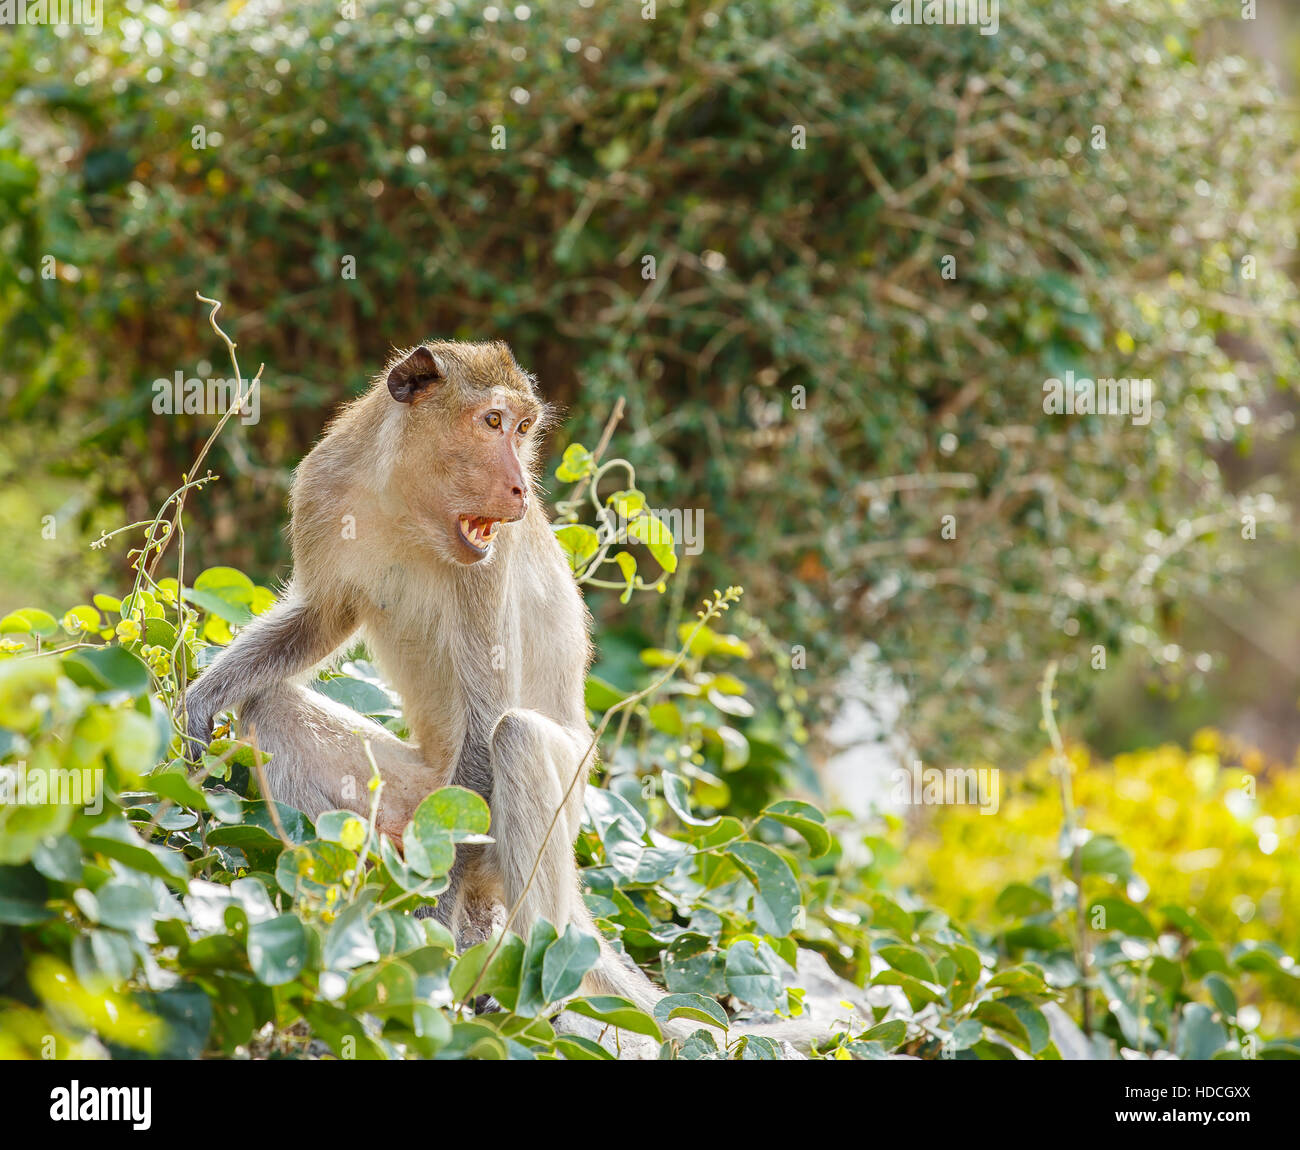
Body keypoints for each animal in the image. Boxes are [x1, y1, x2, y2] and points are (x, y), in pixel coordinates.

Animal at [182, 340, 681, 1027]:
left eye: (522, 428)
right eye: (493, 422)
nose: (520, 488)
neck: (406, 505)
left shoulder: (490, 560)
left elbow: (488, 717)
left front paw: (433, 938)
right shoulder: (319, 487)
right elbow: (318, 620)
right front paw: (201, 700)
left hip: (539, 817)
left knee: (517, 738)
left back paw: (527, 990)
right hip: (401, 800)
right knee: (271, 706)